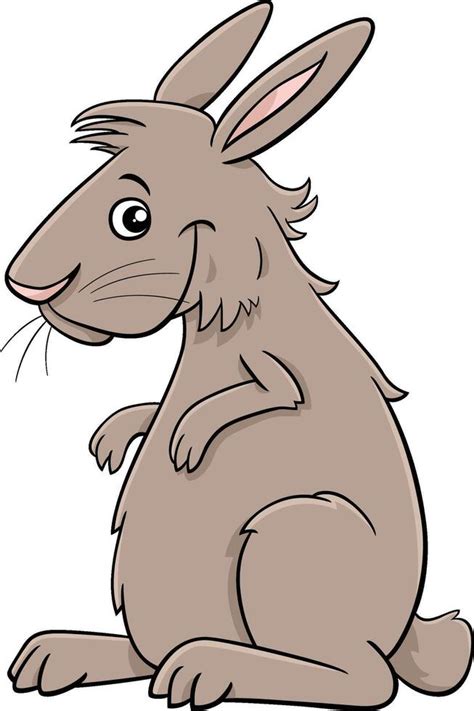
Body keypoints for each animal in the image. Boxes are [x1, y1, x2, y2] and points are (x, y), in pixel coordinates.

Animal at [5, 1, 472, 707]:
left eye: (133, 217)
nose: (23, 282)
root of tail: (403, 634)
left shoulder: (278, 367)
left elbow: (276, 393)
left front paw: (188, 437)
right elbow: (152, 409)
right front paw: (116, 438)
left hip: (289, 535)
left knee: (363, 680)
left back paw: (207, 668)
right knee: (144, 653)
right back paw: (62, 653)